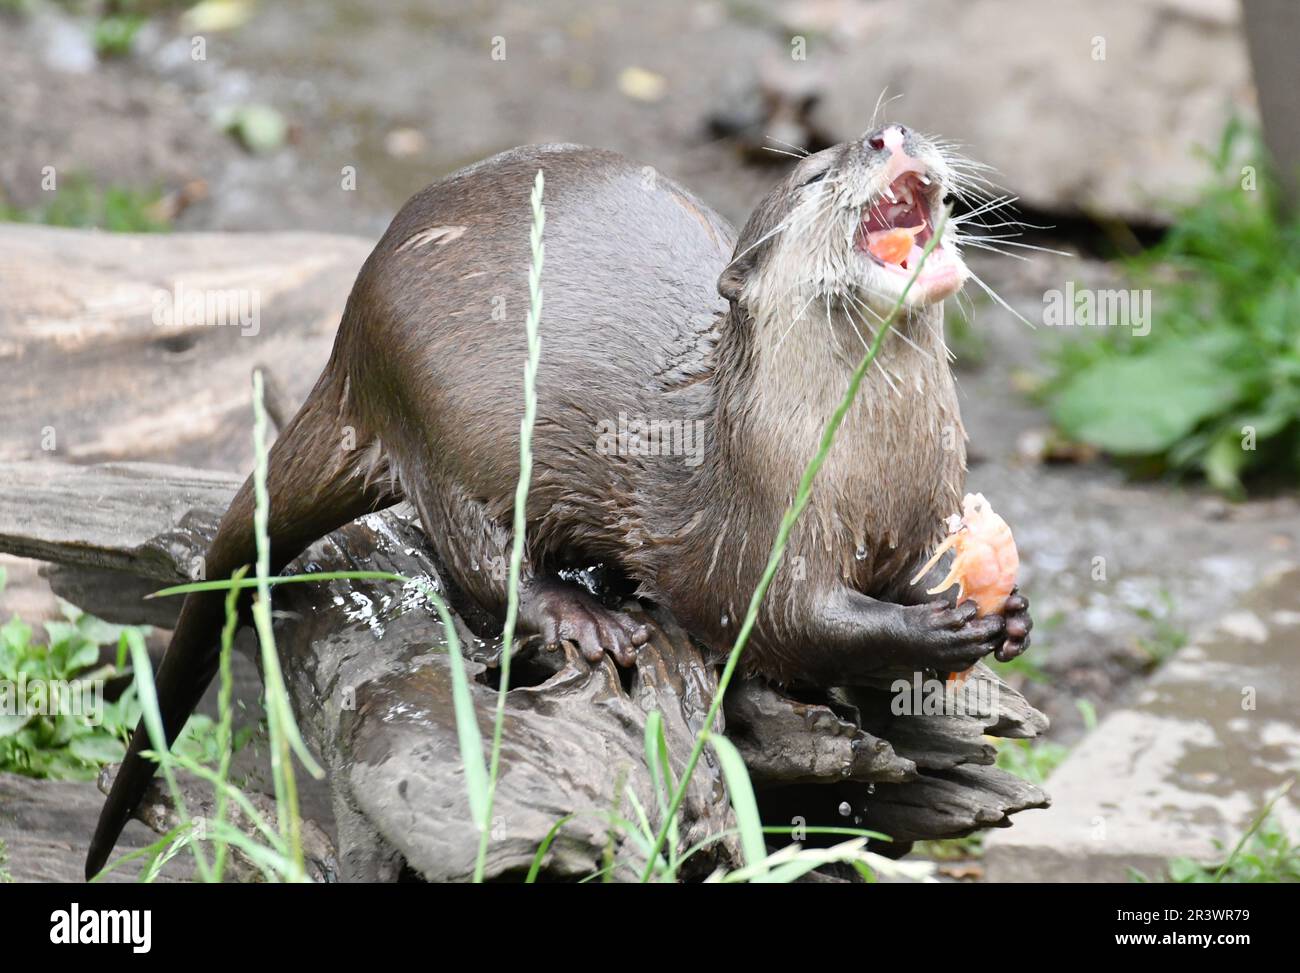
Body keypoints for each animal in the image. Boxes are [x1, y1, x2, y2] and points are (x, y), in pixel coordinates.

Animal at [87, 125, 1031, 877]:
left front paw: (1008, 613)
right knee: (477, 564)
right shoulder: (760, 530)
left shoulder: (920, 514)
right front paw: (929, 629)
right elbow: (791, 620)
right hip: (440, 422)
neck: (868, 468)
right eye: (814, 177)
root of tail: (349, 344)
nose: (887, 134)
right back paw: (581, 614)